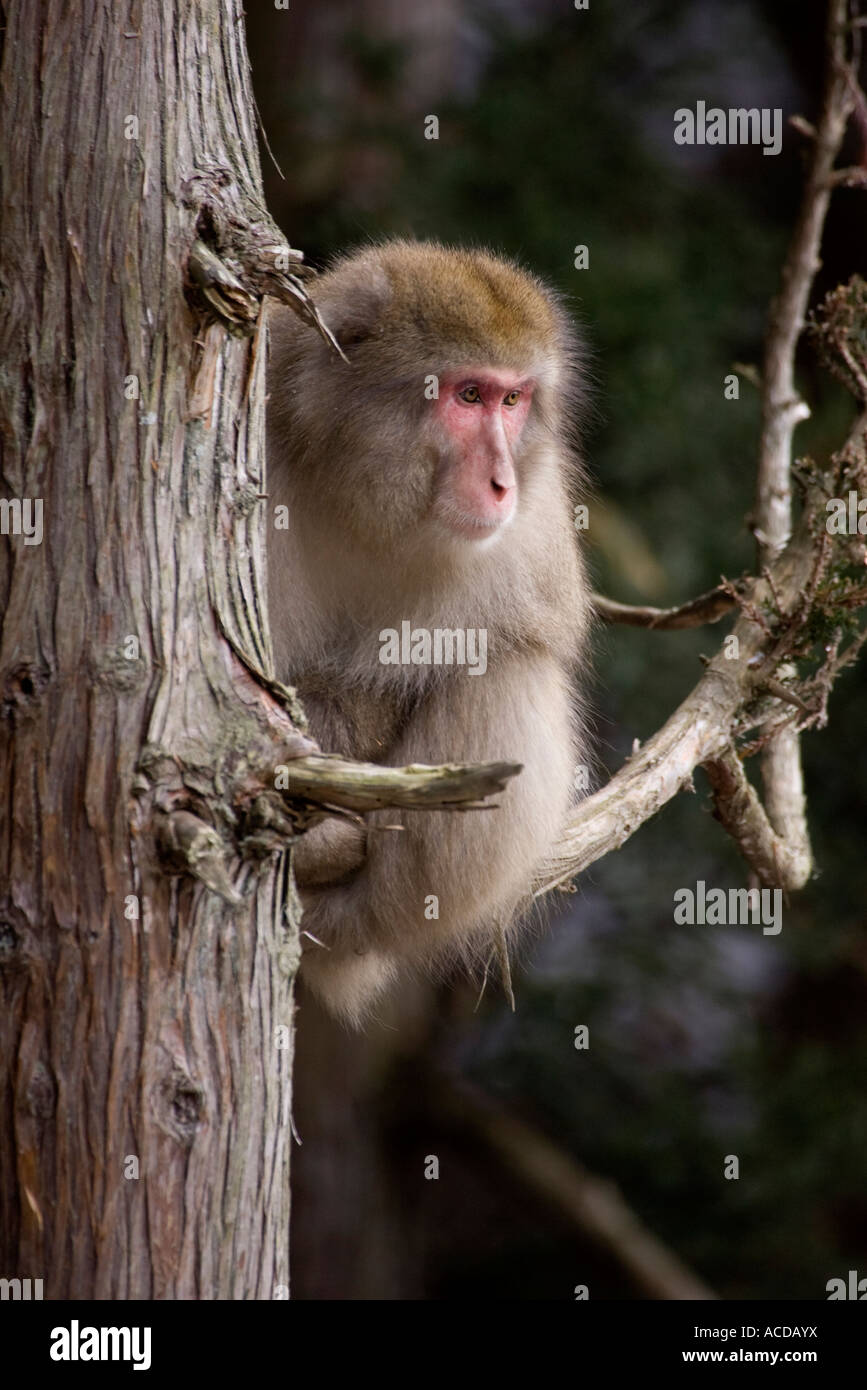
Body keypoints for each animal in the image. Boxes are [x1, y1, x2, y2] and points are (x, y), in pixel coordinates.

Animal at [266, 240, 590, 1024]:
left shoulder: (531, 524)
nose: (502, 483)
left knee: (509, 670)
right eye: (467, 397)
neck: (357, 497)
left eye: (513, 400)